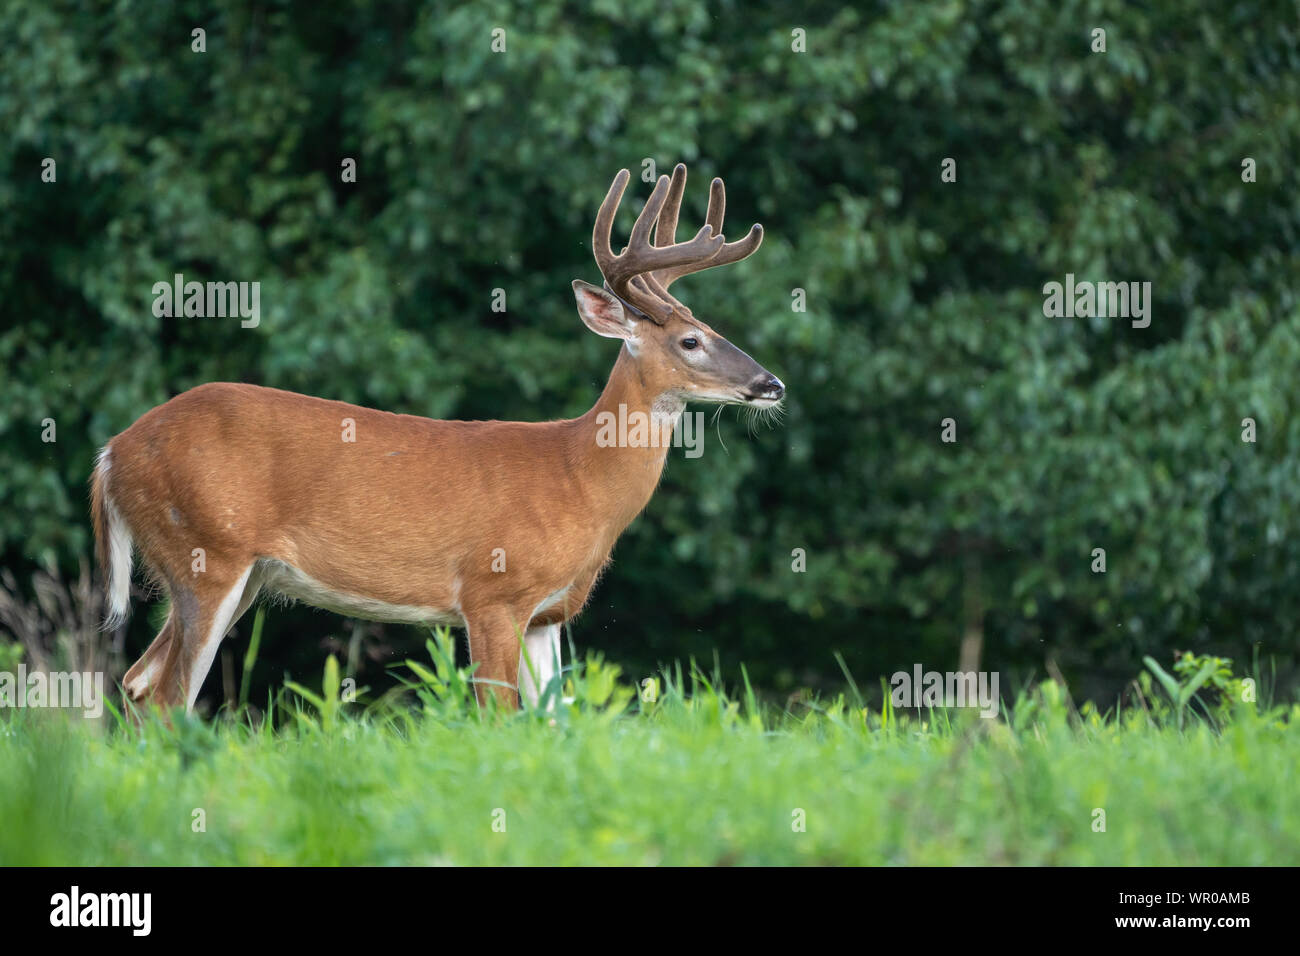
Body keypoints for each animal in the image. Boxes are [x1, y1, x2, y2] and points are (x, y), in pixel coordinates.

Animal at [90, 163, 785, 714]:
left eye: (713, 329)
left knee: (137, 681)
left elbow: (551, 723)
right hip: (206, 551)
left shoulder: (548, 615)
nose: (771, 383)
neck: (577, 476)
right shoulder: (491, 592)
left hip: (244, 572)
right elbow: (498, 716)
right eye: (690, 341)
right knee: (166, 694)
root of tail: (111, 454)